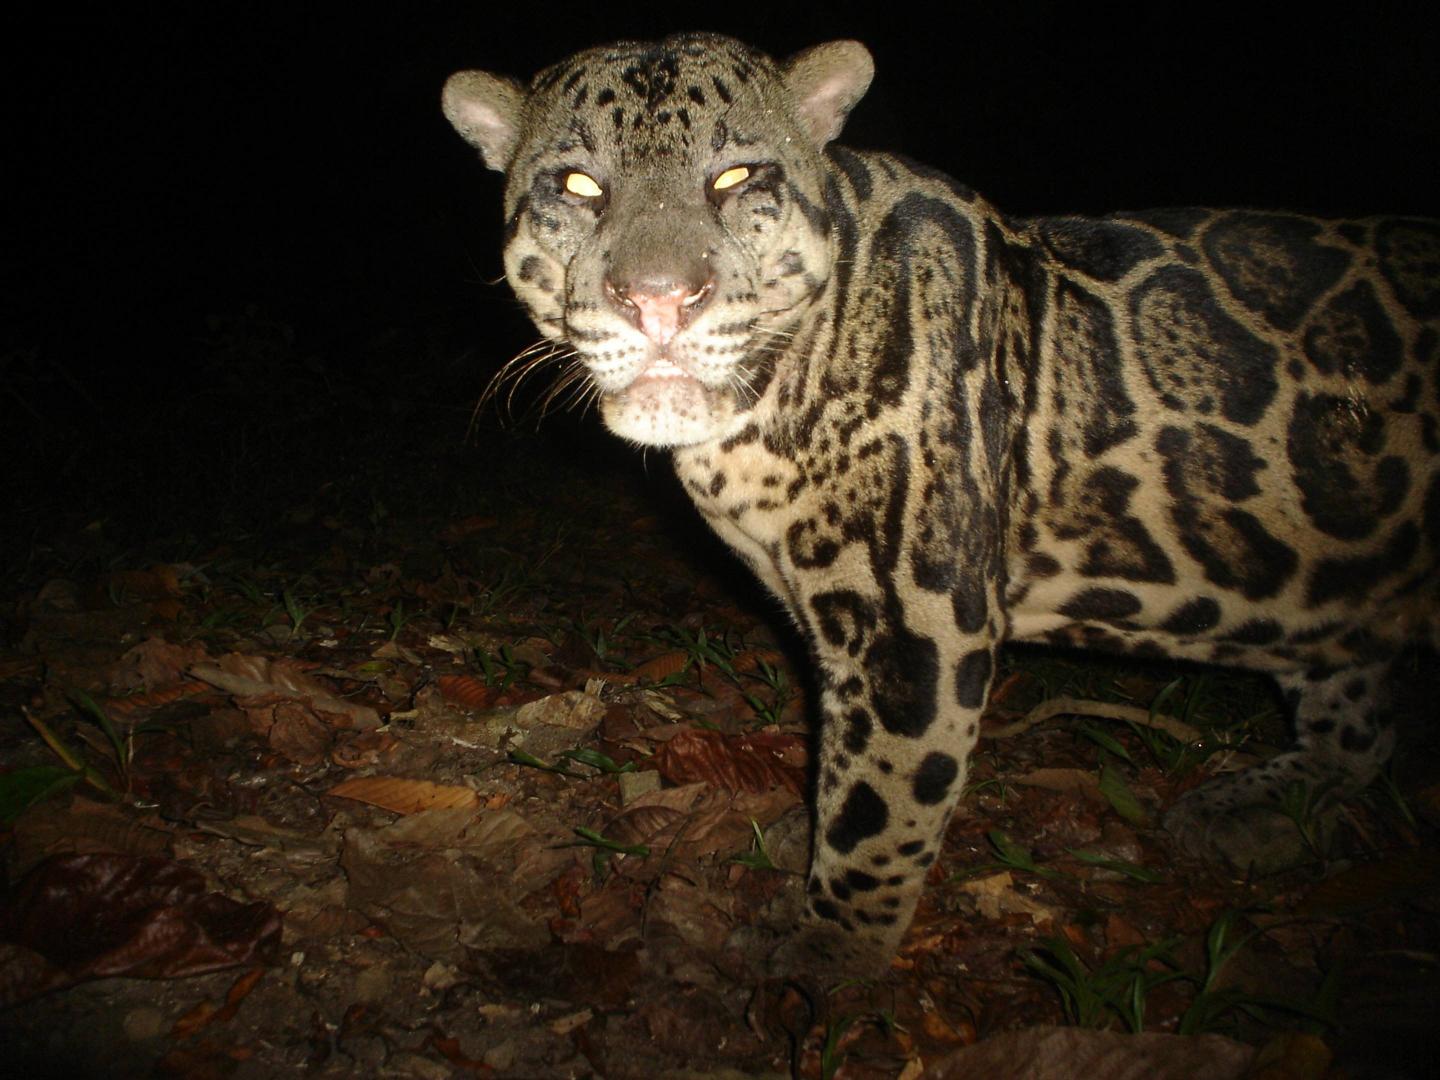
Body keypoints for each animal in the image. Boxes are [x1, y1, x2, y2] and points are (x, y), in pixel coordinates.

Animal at [443, 32, 1440, 975]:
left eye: (735, 178)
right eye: (578, 185)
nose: (659, 301)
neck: (757, 421)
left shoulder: (915, 620)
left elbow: (877, 805)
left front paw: (830, 951)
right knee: (1360, 720)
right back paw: (1253, 807)